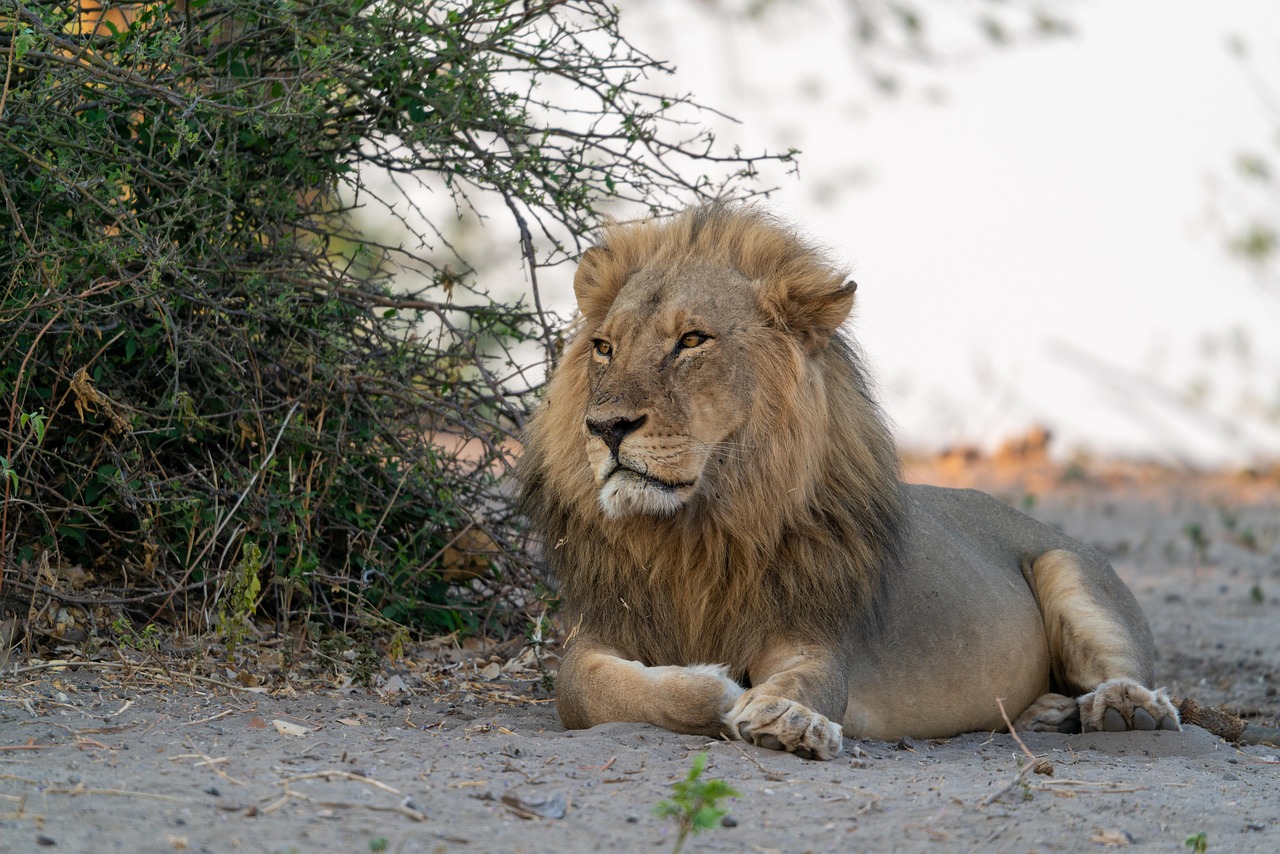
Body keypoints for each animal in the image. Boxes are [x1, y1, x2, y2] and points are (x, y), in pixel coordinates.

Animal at [517, 203, 1179, 760]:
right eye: (604, 347)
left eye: (692, 340)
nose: (605, 427)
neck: (696, 533)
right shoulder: (601, 632)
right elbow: (583, 689)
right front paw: (719, 688)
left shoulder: (811, 636)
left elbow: (810, 681)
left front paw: (784, 716)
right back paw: (1047, 712)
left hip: (1067, 567)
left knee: (1133, 678)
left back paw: (1121, 709)